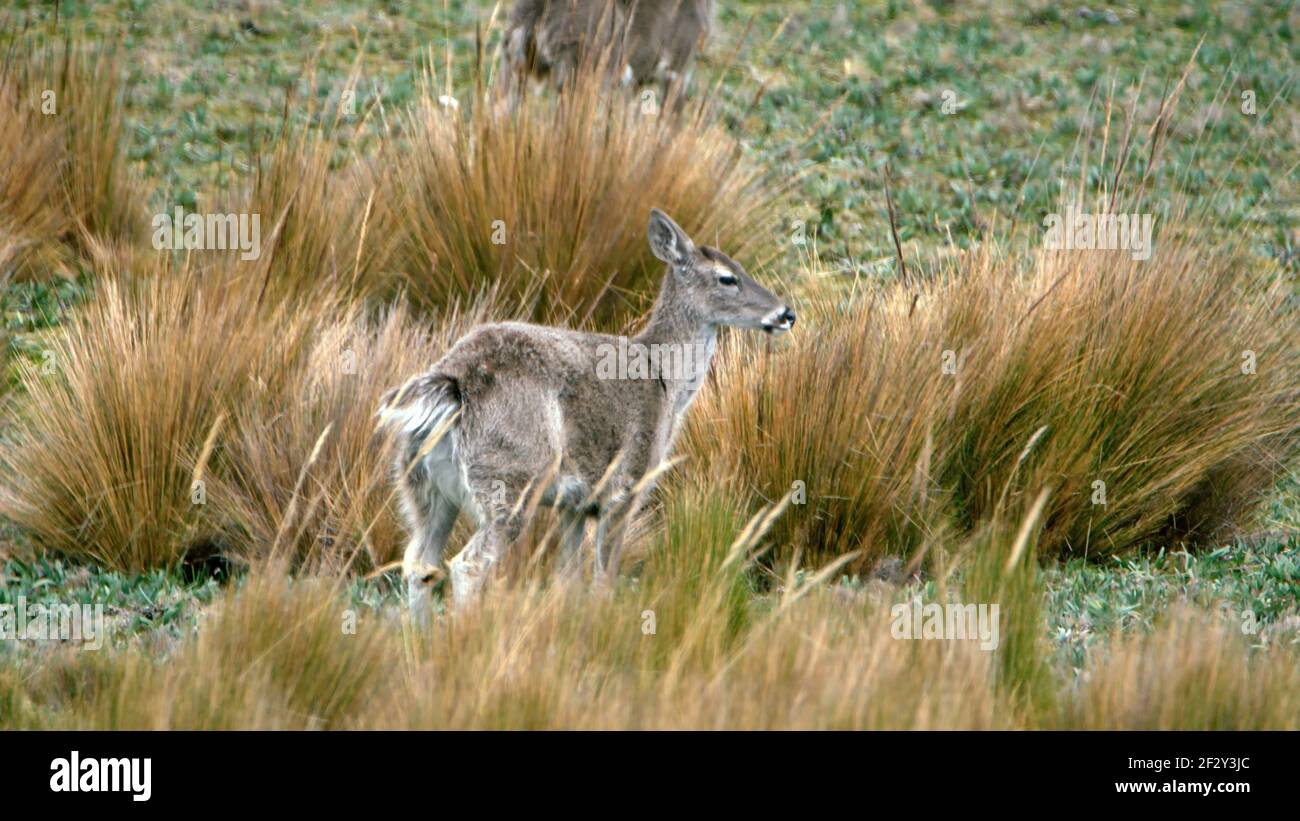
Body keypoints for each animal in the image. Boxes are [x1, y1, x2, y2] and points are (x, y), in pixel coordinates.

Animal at [377, 208, 795, 618]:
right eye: (727, 277)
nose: (786, 313)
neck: (665, 382)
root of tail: (453, 380)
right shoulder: (625, 487)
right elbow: (603, 582)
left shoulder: (574, 505)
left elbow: (567, 581)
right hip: (510, 476)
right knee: (467, 564)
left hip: (423, 485)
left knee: (418, 563)